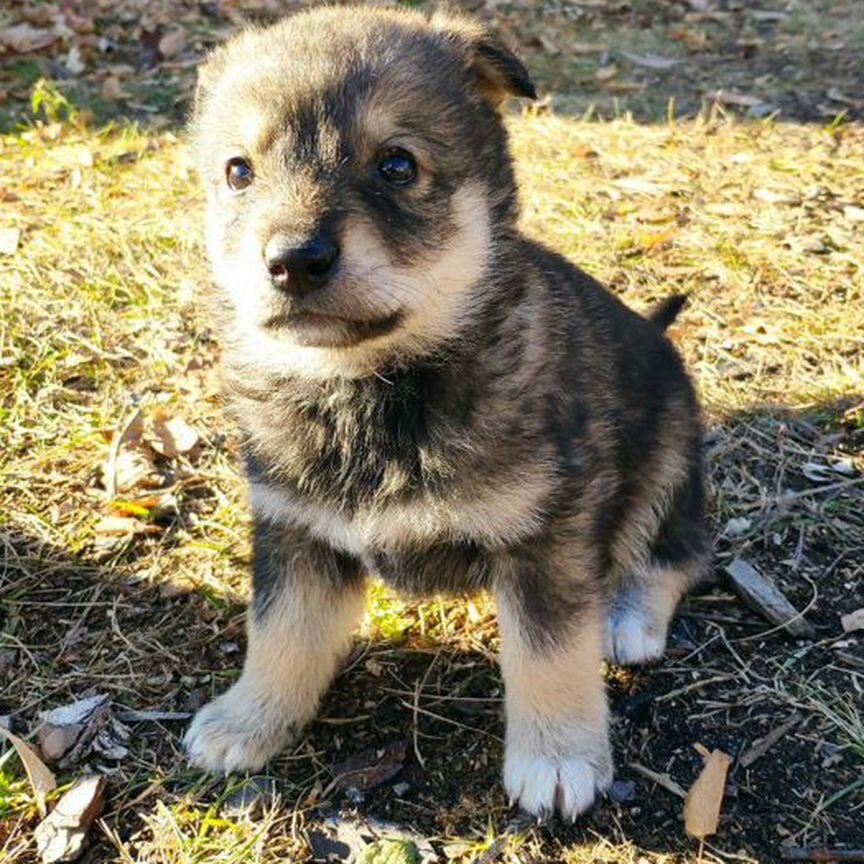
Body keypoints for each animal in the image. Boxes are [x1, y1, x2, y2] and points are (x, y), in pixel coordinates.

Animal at [182, 5, 708, 816]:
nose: (293, 262)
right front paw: (249, 719)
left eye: (397, 165)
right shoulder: (294, 530)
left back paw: (628, 617)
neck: (371, 390)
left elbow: (549, 652)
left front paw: (557, 758)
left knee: (678, 554)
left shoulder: (544, 537)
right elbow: (279, 631)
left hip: (670, 455)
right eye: (239, 171)